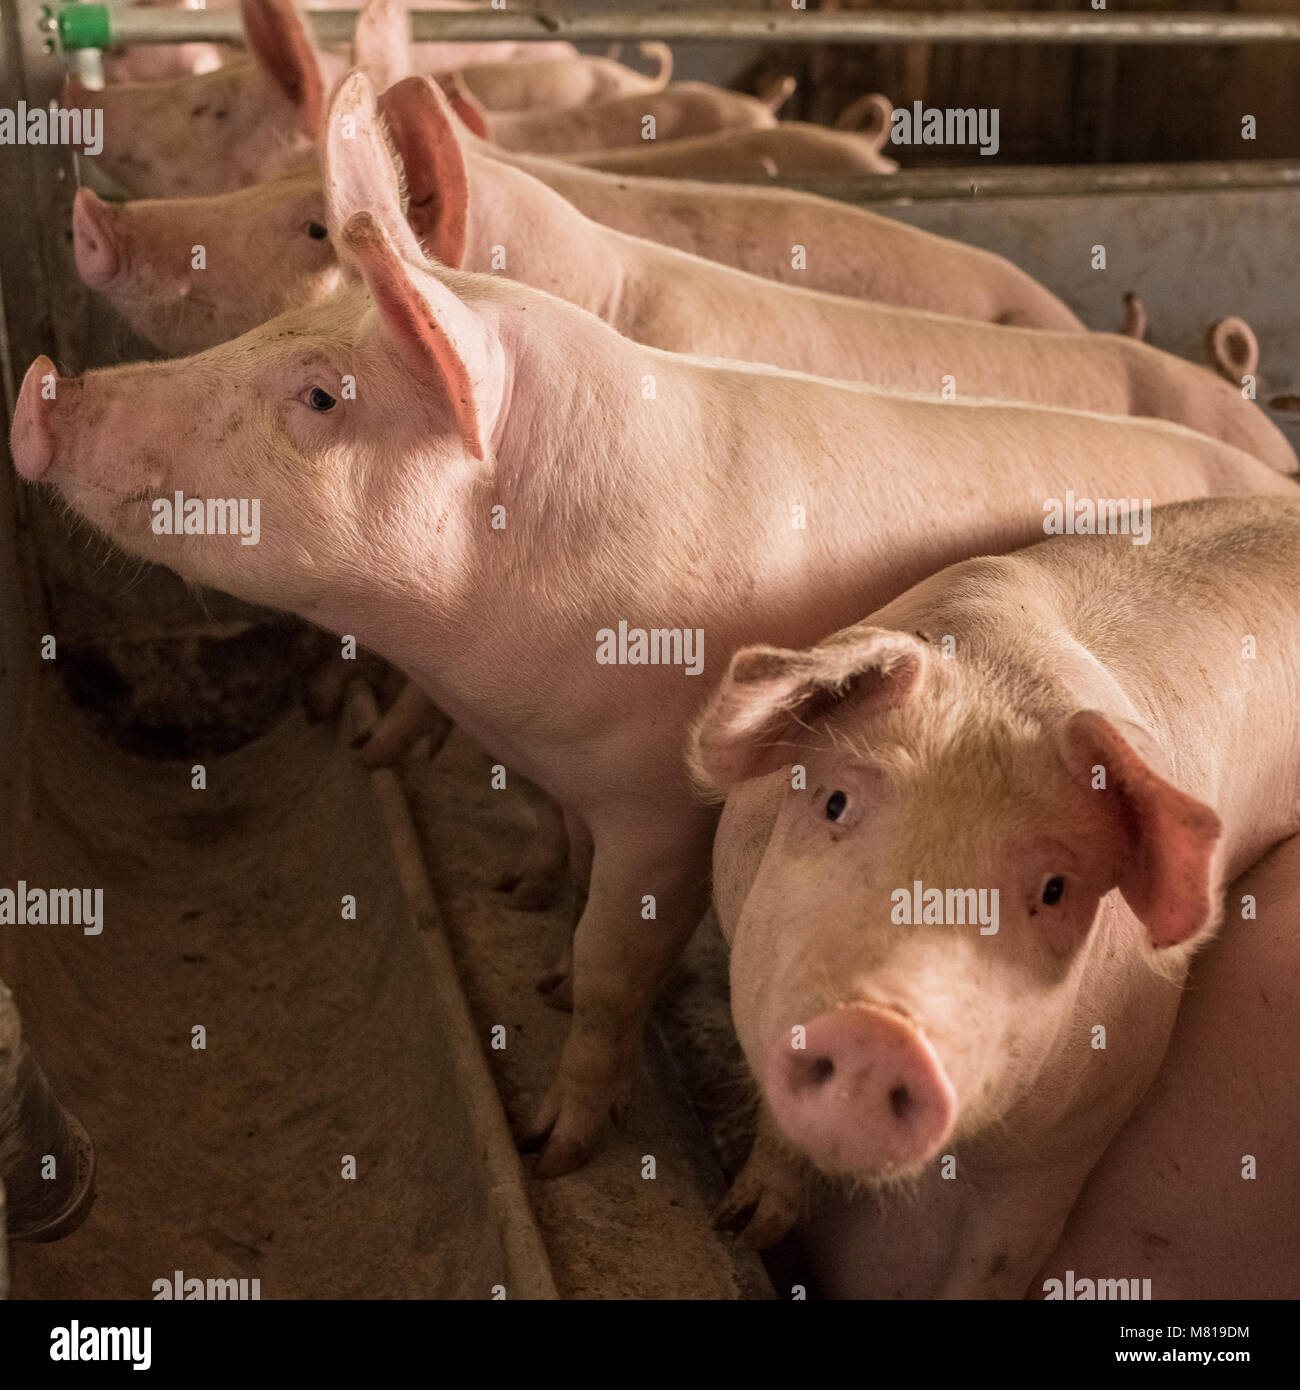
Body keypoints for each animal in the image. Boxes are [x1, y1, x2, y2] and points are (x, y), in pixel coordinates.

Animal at [14, 71, 1296, 1178]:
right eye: (272, 336)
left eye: (323, 396)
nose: (41, 387)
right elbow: (545, 834)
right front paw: (524, 899)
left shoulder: (664, 808)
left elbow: (610, 967)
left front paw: (552, 1140)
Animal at [688, 494, 1300, 1295]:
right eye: (834, 801)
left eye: (1054, 889)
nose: (879, 1032)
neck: (1004, 686)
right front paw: (741, 1225)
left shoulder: (1081, 1131)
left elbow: (1002, 1261)